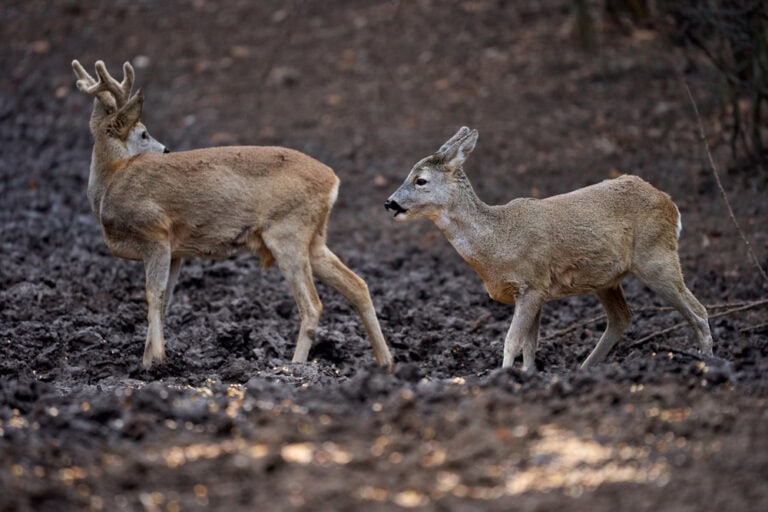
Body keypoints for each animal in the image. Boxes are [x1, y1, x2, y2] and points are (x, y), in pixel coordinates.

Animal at [71, 59, 393, 371]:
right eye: (144, 133)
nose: (166, 150)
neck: (109, 184)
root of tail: (333, 180)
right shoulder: (176, 251)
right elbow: (165, 300)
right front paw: (150, 359)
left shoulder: (156, 232)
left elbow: (155, 295)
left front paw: (156, 362)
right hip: (313, 238)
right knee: (358, 285)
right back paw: (385, 362)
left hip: (287, 232)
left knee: (313, 305)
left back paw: (293, 368)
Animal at [385, 126, 713, 371]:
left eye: (420, 180)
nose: (390, 202)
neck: (498, 242)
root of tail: (670, 203)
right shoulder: (537, 290)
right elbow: (530, 345)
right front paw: (529, 375)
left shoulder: (531, 283)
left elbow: (512, 341)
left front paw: (502, 377)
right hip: (606, 279)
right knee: (622, 317)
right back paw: (584, 369)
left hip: (656, 256)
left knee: (698, 310)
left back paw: (708, 363)